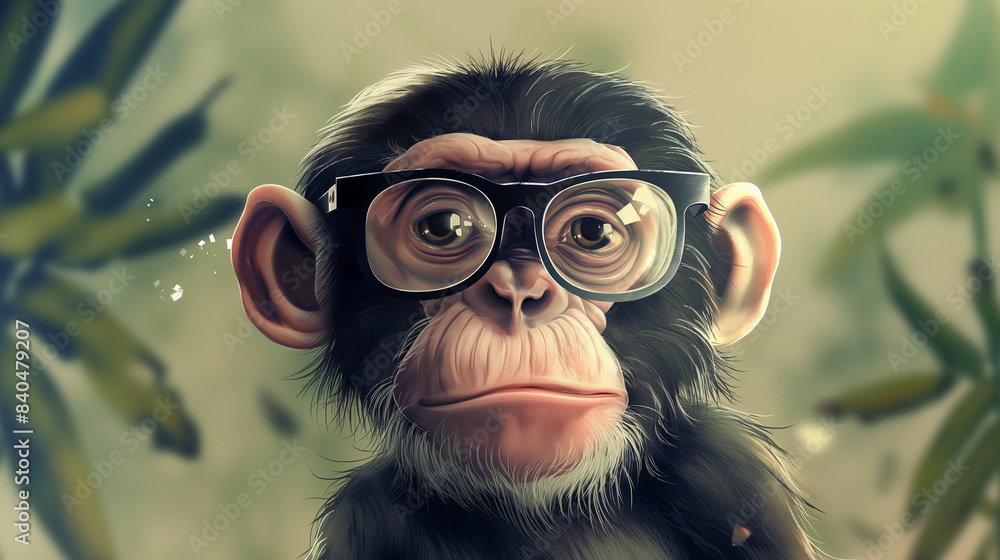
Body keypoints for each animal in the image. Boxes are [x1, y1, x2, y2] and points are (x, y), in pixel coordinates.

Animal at [231, 53, 819, 559]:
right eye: (443, 226)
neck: (544, 512)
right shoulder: (363, 521)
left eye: (593, 231)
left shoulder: (734, 470)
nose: (519, 292)